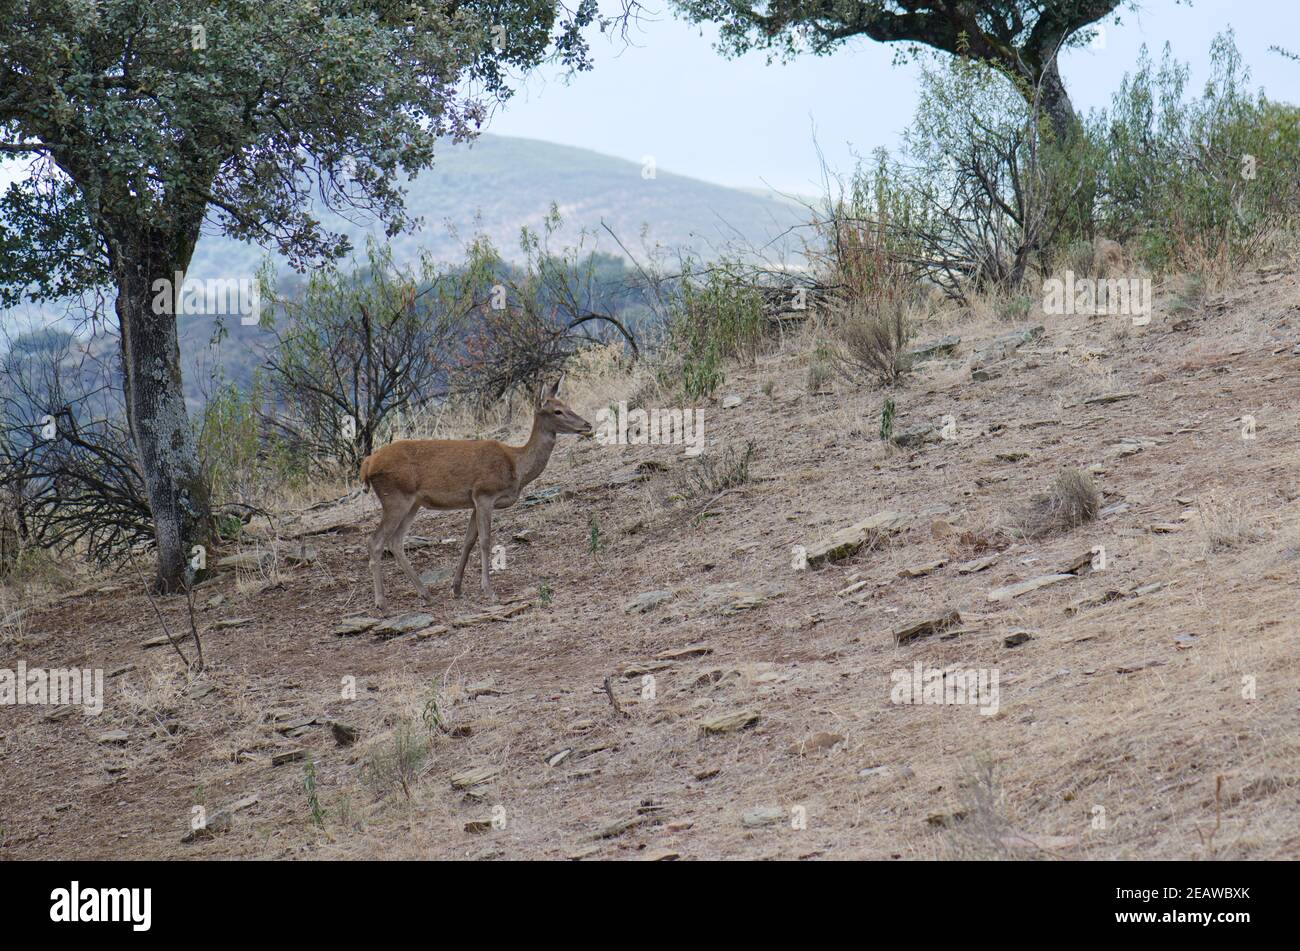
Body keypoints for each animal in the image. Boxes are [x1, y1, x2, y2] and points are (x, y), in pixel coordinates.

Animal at [358, 376, 592, 611]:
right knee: (375, 541)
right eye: (557, 411)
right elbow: (485, 540)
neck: (516, 467)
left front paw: (456, 588)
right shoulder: (484, 494)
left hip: (412, 503)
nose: (587, 424)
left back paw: (425, 594)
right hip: (395, 497)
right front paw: (489, 590)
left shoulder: (473, 502)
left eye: (567, 405)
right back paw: (381, 603)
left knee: (395, 541)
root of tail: (367, 464)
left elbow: (468, 540)